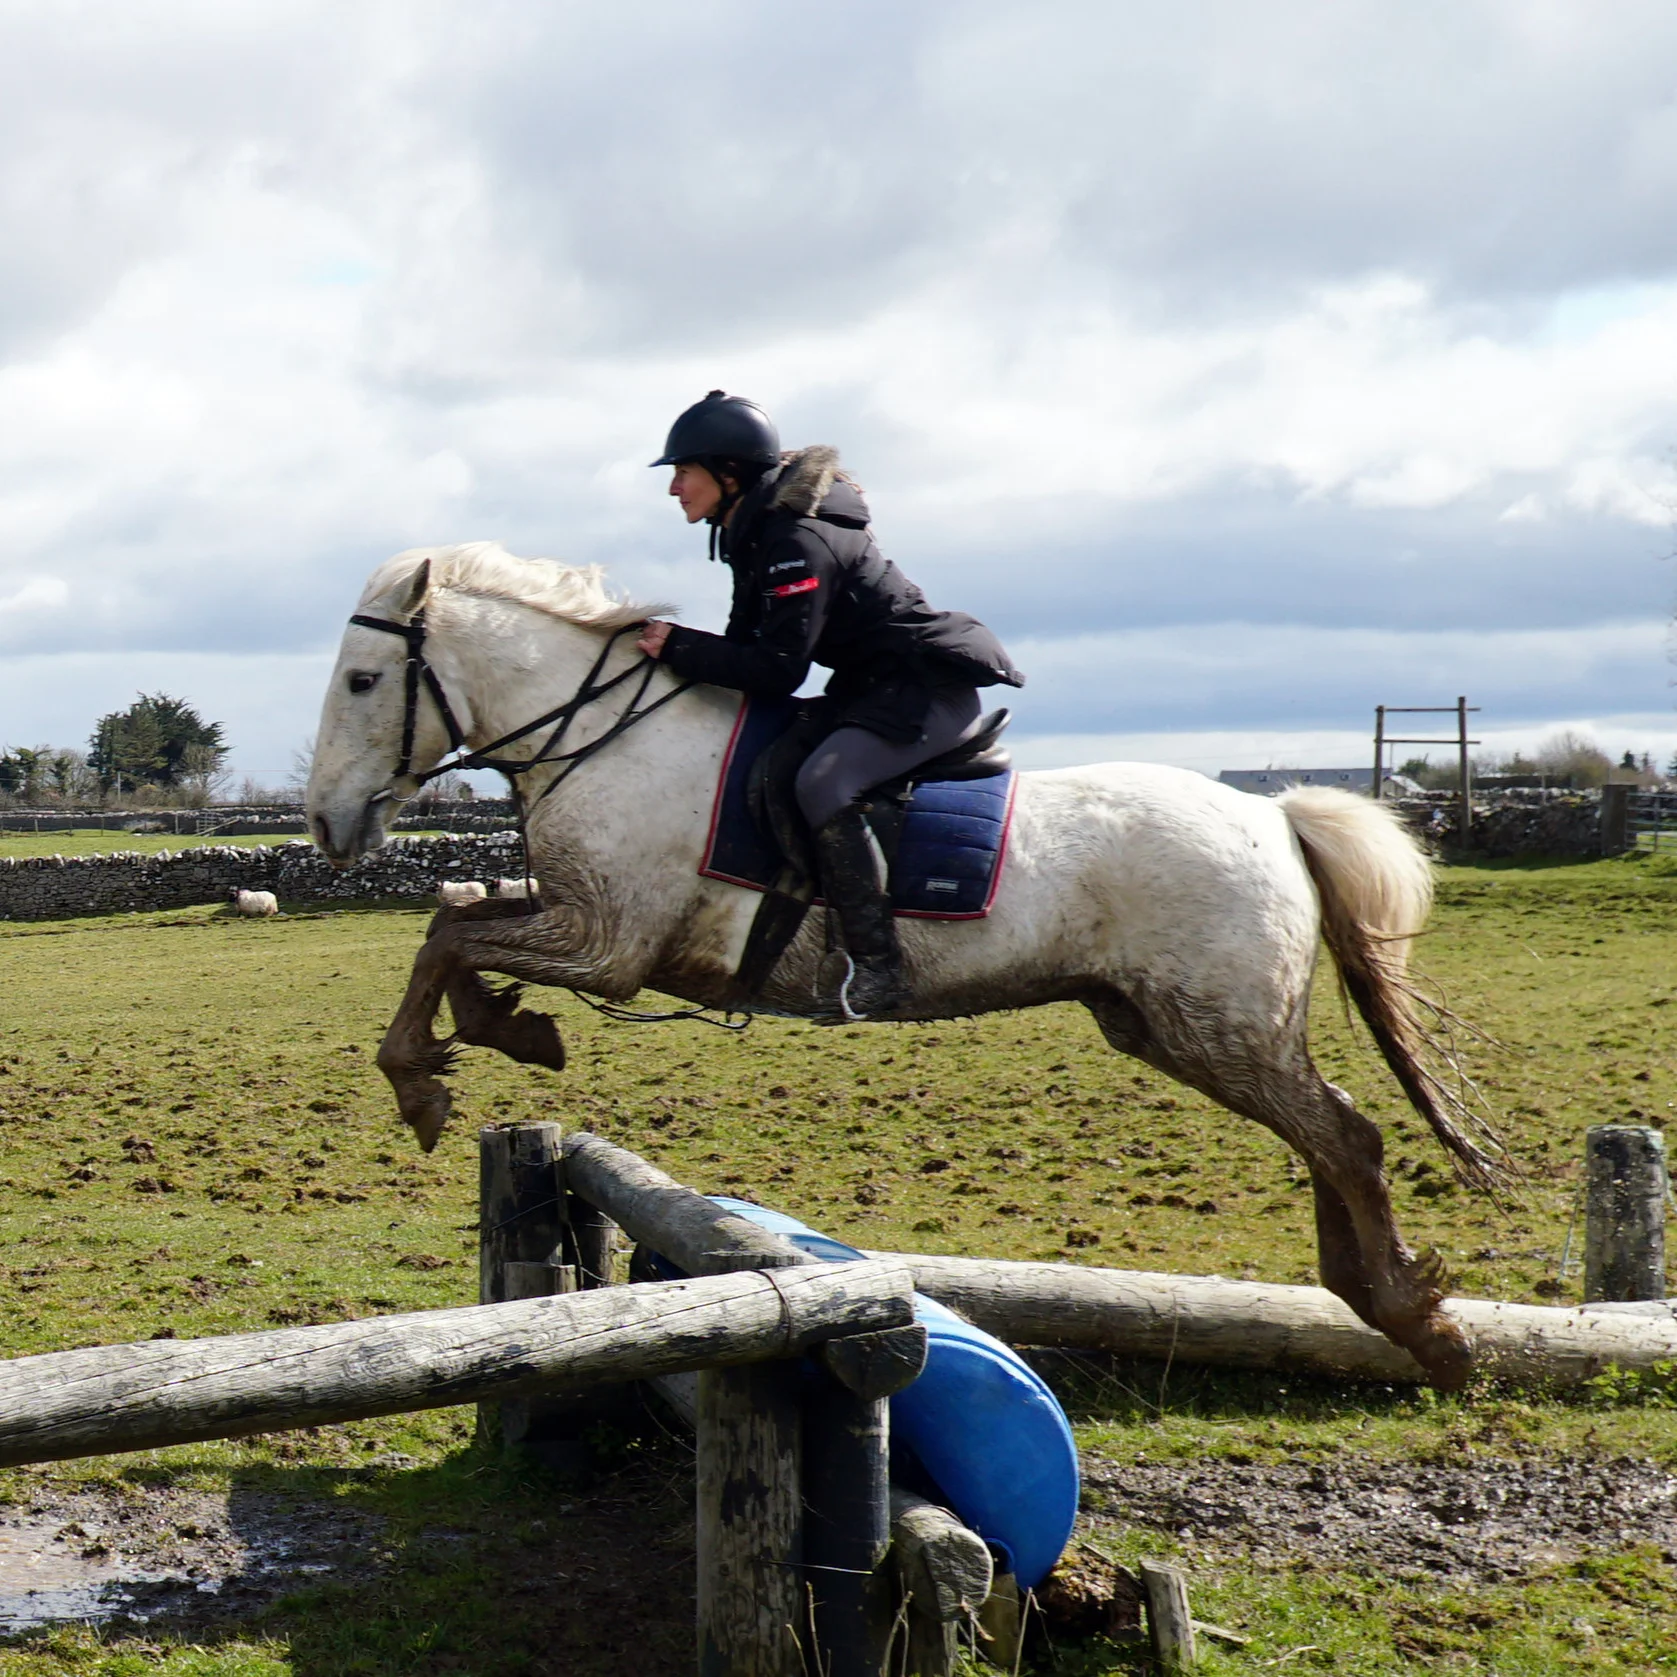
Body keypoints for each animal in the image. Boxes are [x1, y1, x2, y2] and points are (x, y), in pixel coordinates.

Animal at [306, 541, 1506, 1390]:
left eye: (363, 681)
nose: (323, 822)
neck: (605, 737)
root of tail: (1273, 814)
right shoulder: (584, 927)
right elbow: (456, 921)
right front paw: (492, 1033)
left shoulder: (608, 943)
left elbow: (452, 934)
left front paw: (428, 1076)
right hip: (1167, 1027)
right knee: (1327, 1137)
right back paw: (1373, 1298)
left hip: (1217, 1026)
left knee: (1345, 1135)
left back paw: (1416, 1321)